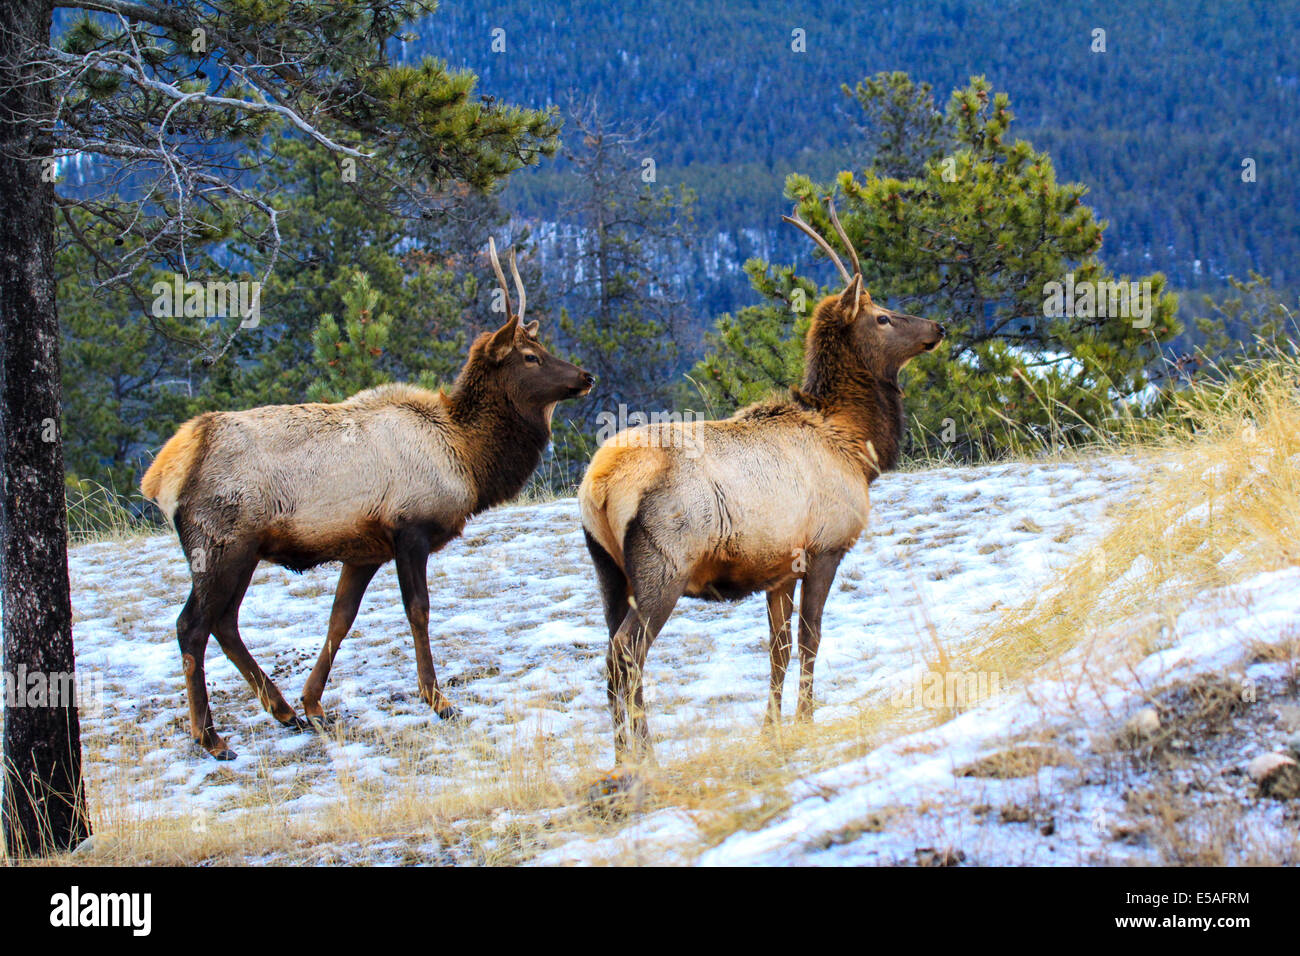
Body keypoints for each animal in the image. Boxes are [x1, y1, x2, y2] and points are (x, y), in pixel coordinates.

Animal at [141, 240, 594, 760]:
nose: (586, 375)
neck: (467, 457)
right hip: (220, 543)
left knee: (225, 622)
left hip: (244, 550)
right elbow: (418, 610)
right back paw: (210, 737)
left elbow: (340, 620)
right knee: (191, 624)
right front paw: (438, 700)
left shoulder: (363, 550)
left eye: (542, 348)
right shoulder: (408, 530)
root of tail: (162, 474)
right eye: (530, 356)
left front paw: (314, 703)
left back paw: (284, 711)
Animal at [578, 199, 945, 763]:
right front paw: (805, 721)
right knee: (626, 654)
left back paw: (626, 758)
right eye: (882, 316)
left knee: (614, 652)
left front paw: (769, 728)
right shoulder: (825, 547)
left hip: (608, 571)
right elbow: (812, 639)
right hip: (664, 565)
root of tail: (598, 486)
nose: (937, 326)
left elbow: (778, 648)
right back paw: (647, 759)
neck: (857, 445)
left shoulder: (779, 567)